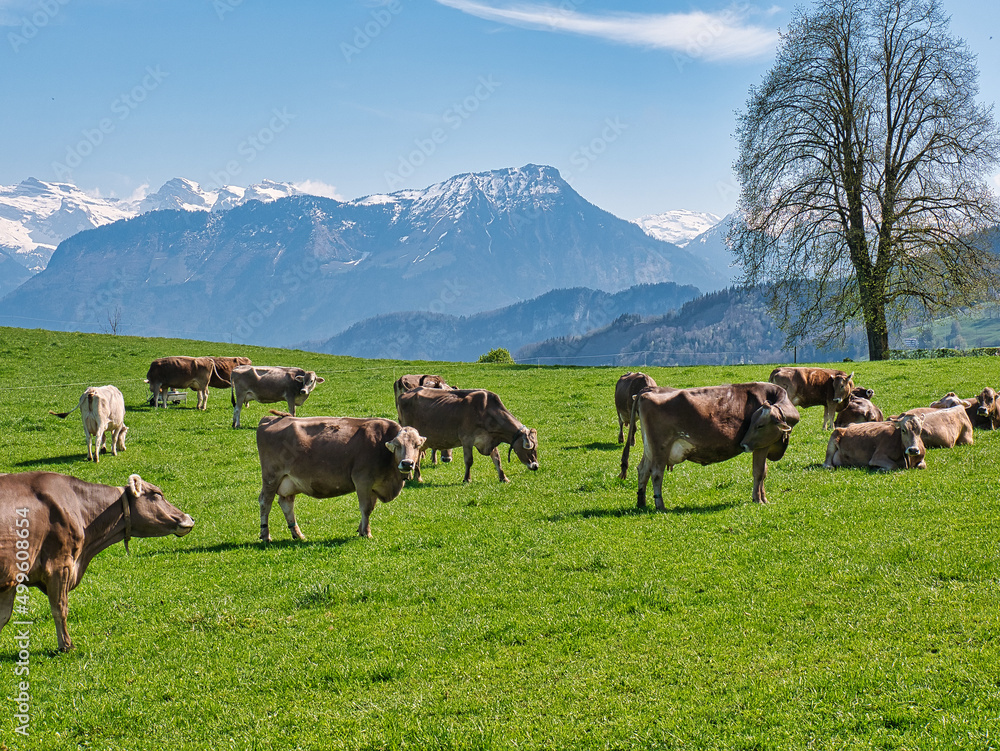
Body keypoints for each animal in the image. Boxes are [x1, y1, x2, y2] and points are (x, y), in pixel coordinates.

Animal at [0, 472, 194, 651]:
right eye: (157, 494)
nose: (189, 518)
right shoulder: (59, 564)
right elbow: (60, 607)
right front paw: (66, 645)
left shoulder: (13, 577)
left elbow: (4, 616)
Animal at [255, 412, 426, 539]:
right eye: (397, 445)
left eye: (417, 445)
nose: (407, 463)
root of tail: (271, 419)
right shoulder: (363, 481)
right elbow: (365, 508)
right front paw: (366, 533)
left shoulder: (373, 486)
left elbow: (370, 508)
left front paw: (361, 529)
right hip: (271, 477)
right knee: (265, 502)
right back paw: (265, 535)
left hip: (288, 482)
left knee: (286, 504)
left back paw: (298, 534)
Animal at [395, 388, 539, 483]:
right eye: (530, 447)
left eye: (536, 447)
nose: (536, 466)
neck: (486, 411)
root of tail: (405, 394)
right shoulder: (467, 439)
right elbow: (469, 460)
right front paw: (467, 479)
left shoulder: (489, 439)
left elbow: (497, 459)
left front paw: (503, 478)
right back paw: (416, 477)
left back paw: (413, 476)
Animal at [619, 382, 799, 508]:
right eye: (753, 423)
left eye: (759, 425)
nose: (743, 444)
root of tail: (648, 390)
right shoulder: (761, 446)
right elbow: (759, 472)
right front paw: (759, 499)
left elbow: (764, 472)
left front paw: (762, 498)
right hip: (660, 448)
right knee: (656, 473)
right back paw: (660, 505)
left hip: (650, 449)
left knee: (643, 470)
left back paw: (641, 502)